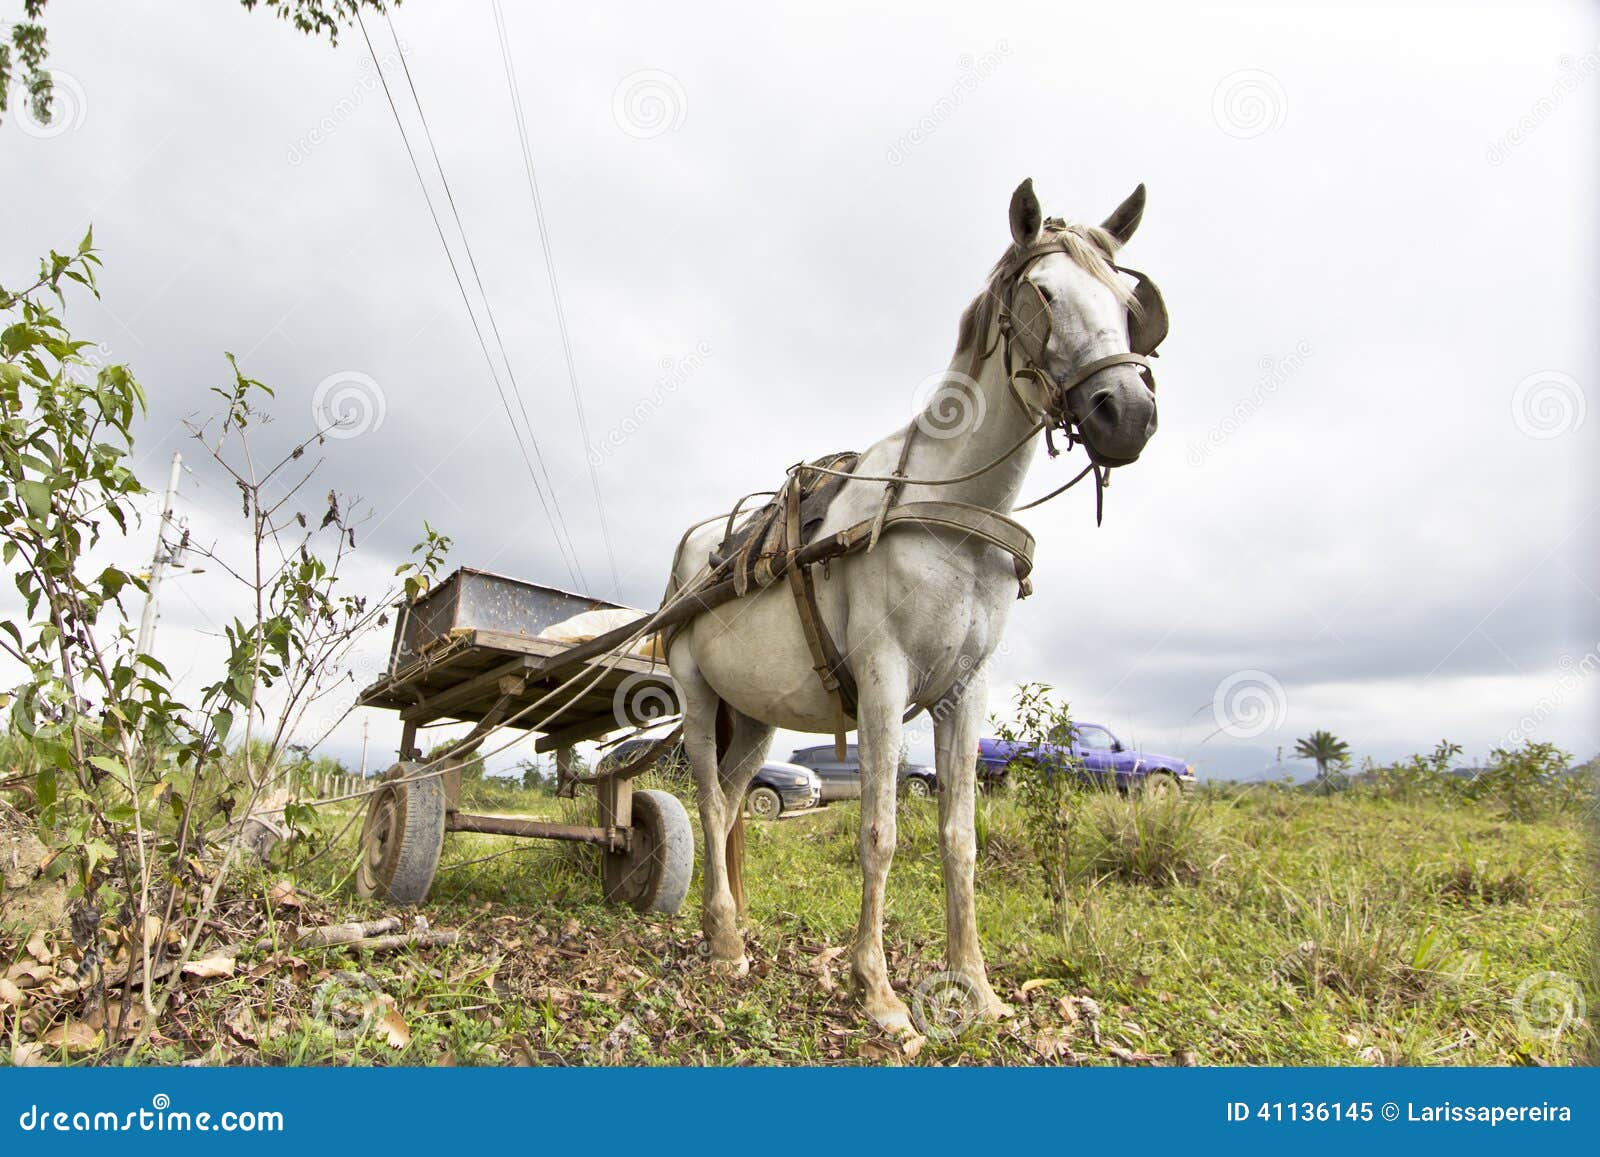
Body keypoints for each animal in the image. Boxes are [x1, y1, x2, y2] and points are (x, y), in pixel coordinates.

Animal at [666, 178, 1161, 1030]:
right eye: (1043, 293)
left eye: (1129, 303)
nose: (1127, 412)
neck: (946, 505)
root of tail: (694, 553)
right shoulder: (882, 679)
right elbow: (880, 829)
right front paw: (877, 988)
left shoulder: (966, 689)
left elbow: (959, 836)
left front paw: (977, 986)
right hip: (698, 695)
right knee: (702, 795)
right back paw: (726, 939)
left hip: (755, 714)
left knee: (730, 803)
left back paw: (723, 925)